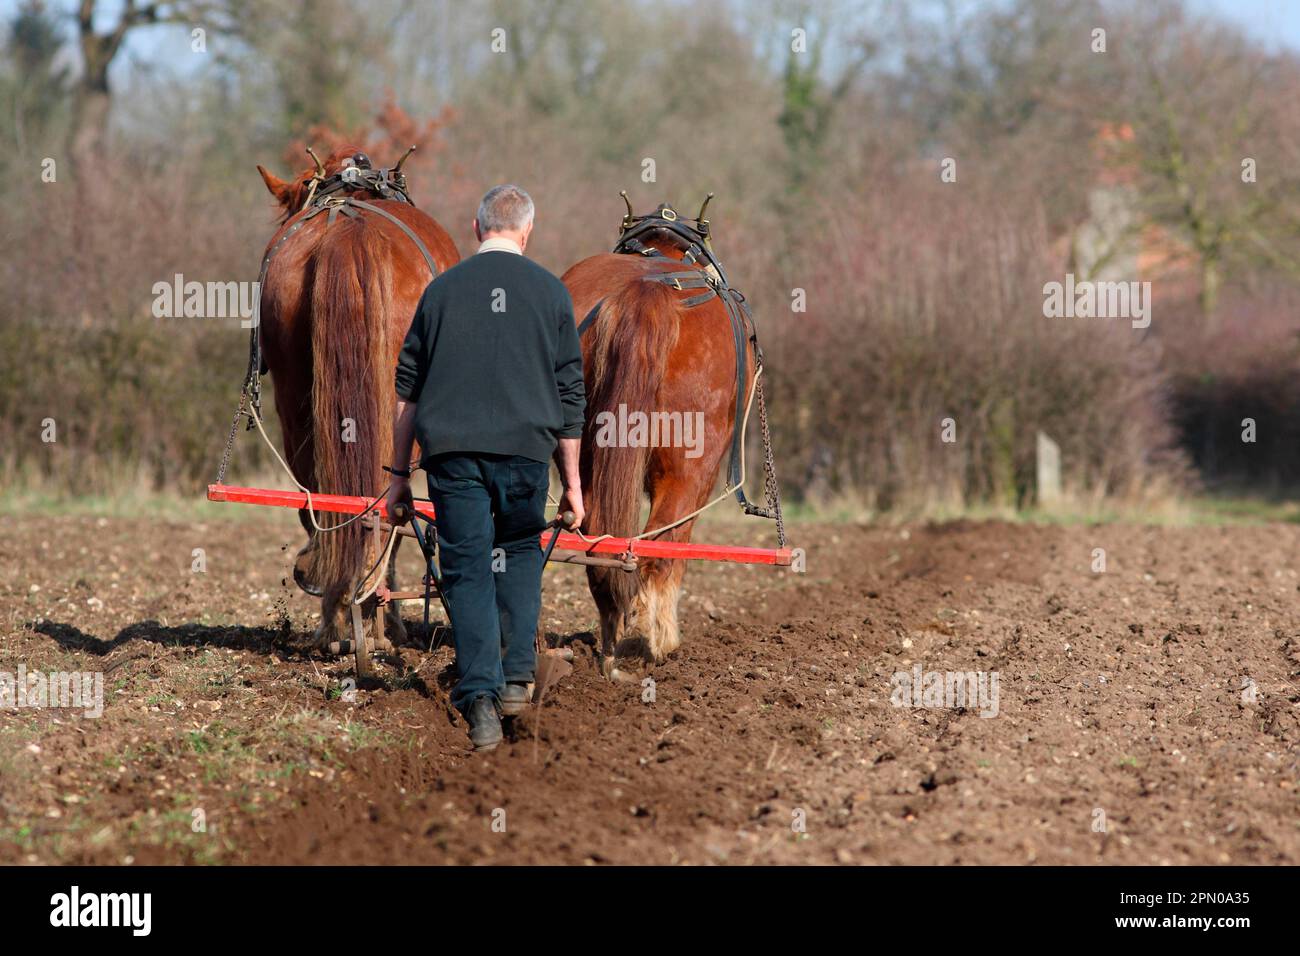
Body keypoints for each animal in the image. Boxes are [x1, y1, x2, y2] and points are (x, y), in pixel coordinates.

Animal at [254, 145, 460, 651]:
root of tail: (349, 229)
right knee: (388, 504)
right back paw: (368, 606)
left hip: (297, 402)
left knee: (321, 499)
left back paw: (337, 615)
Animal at [561, 198, 781, 677]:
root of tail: (644, 292)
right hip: (693, 461)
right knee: (661, 542)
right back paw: (659, 639)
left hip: (580, 451)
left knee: (600, 538)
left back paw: (611, 637)